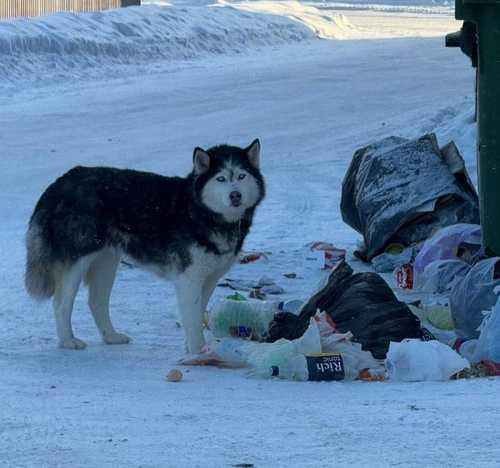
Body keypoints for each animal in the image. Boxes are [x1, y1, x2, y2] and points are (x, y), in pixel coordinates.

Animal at [25, 141, 266, 352]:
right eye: (221, 178)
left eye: (241, 176)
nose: (235, 195)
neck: (201, 212)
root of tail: (60, 182)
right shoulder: (189, 279)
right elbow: (193, 320)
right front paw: (198, 352)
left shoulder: (209, 279)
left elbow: (196, 315)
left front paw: (191, 348)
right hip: (77, 262)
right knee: (61, 303)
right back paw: (68, 341)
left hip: (106, 262)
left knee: (96, 302)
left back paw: (111, 336)